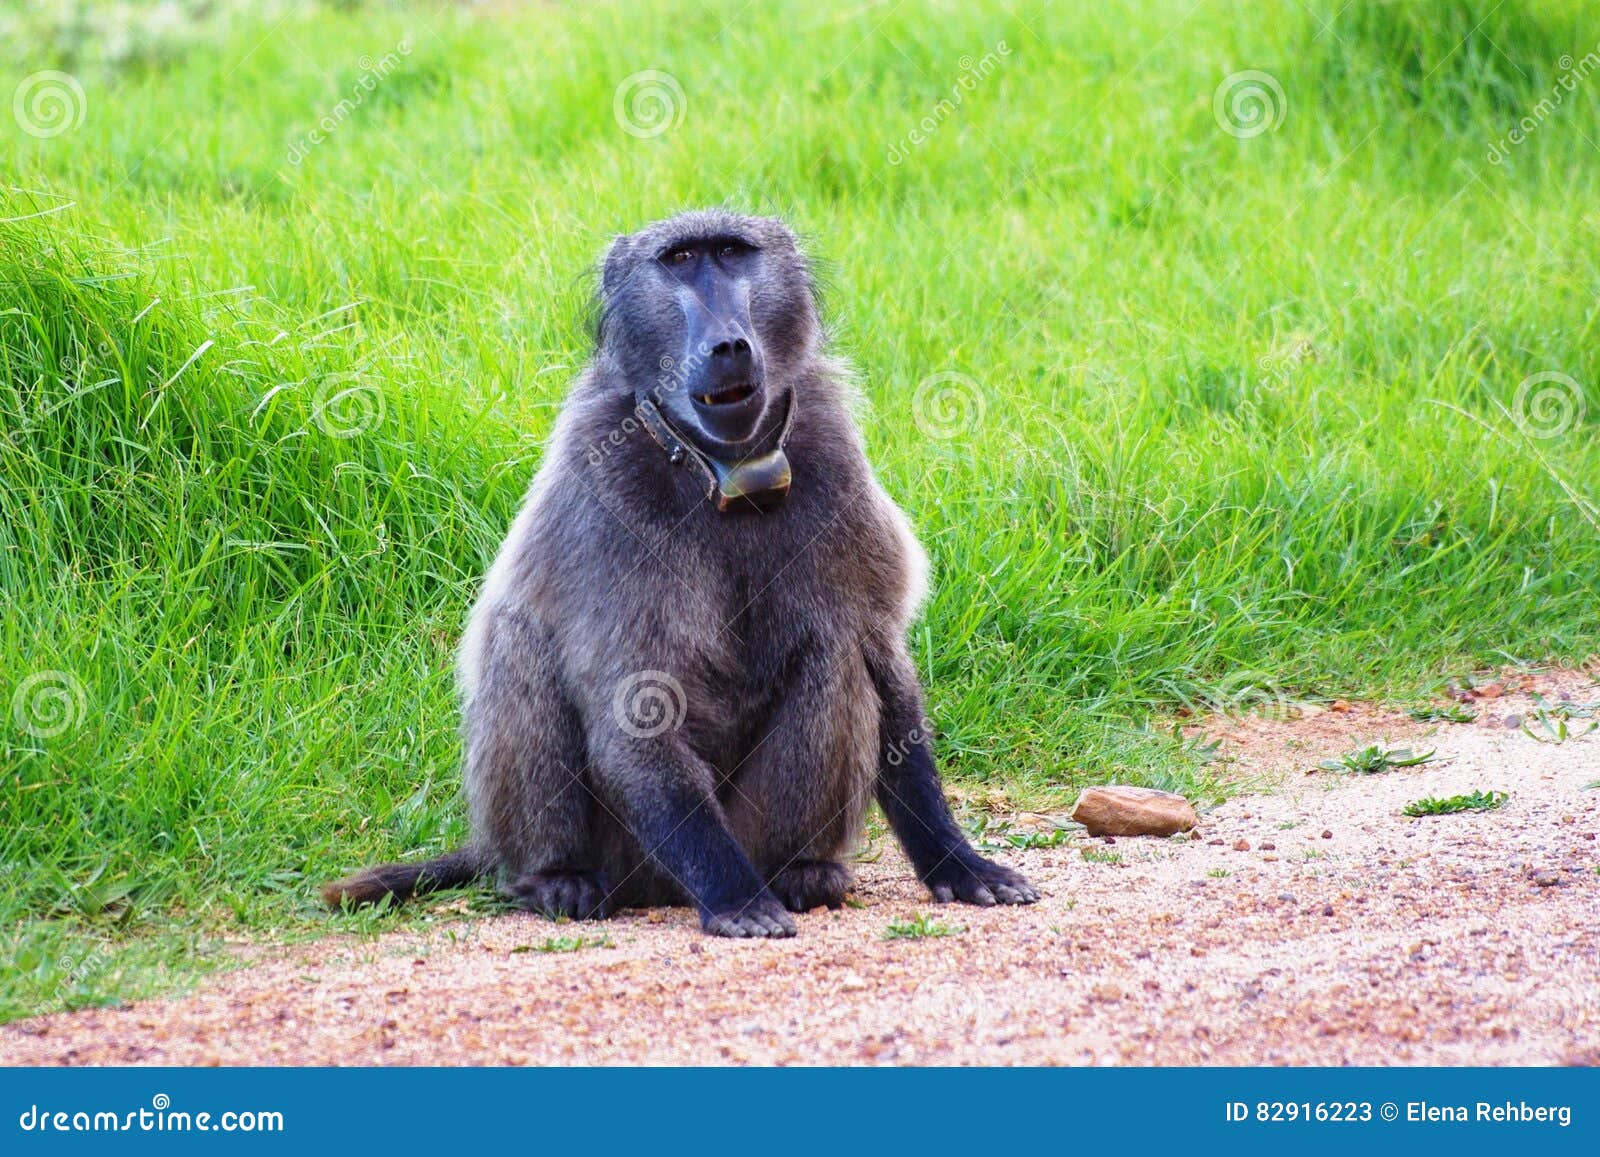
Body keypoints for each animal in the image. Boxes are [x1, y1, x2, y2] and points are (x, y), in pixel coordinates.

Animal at [322, 209, 1038, 937]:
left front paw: (957, 861)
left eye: (731, 254)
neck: (722, 472)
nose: (728, 345)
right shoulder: (603, 493)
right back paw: (556, 877)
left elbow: (880, 664)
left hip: (749, 828)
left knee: (835, 652)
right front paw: (737, 899)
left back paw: (803, 871)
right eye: (681, 261)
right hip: (627, 849)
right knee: (519, 645)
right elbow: (634, 702)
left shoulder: (835, 464)